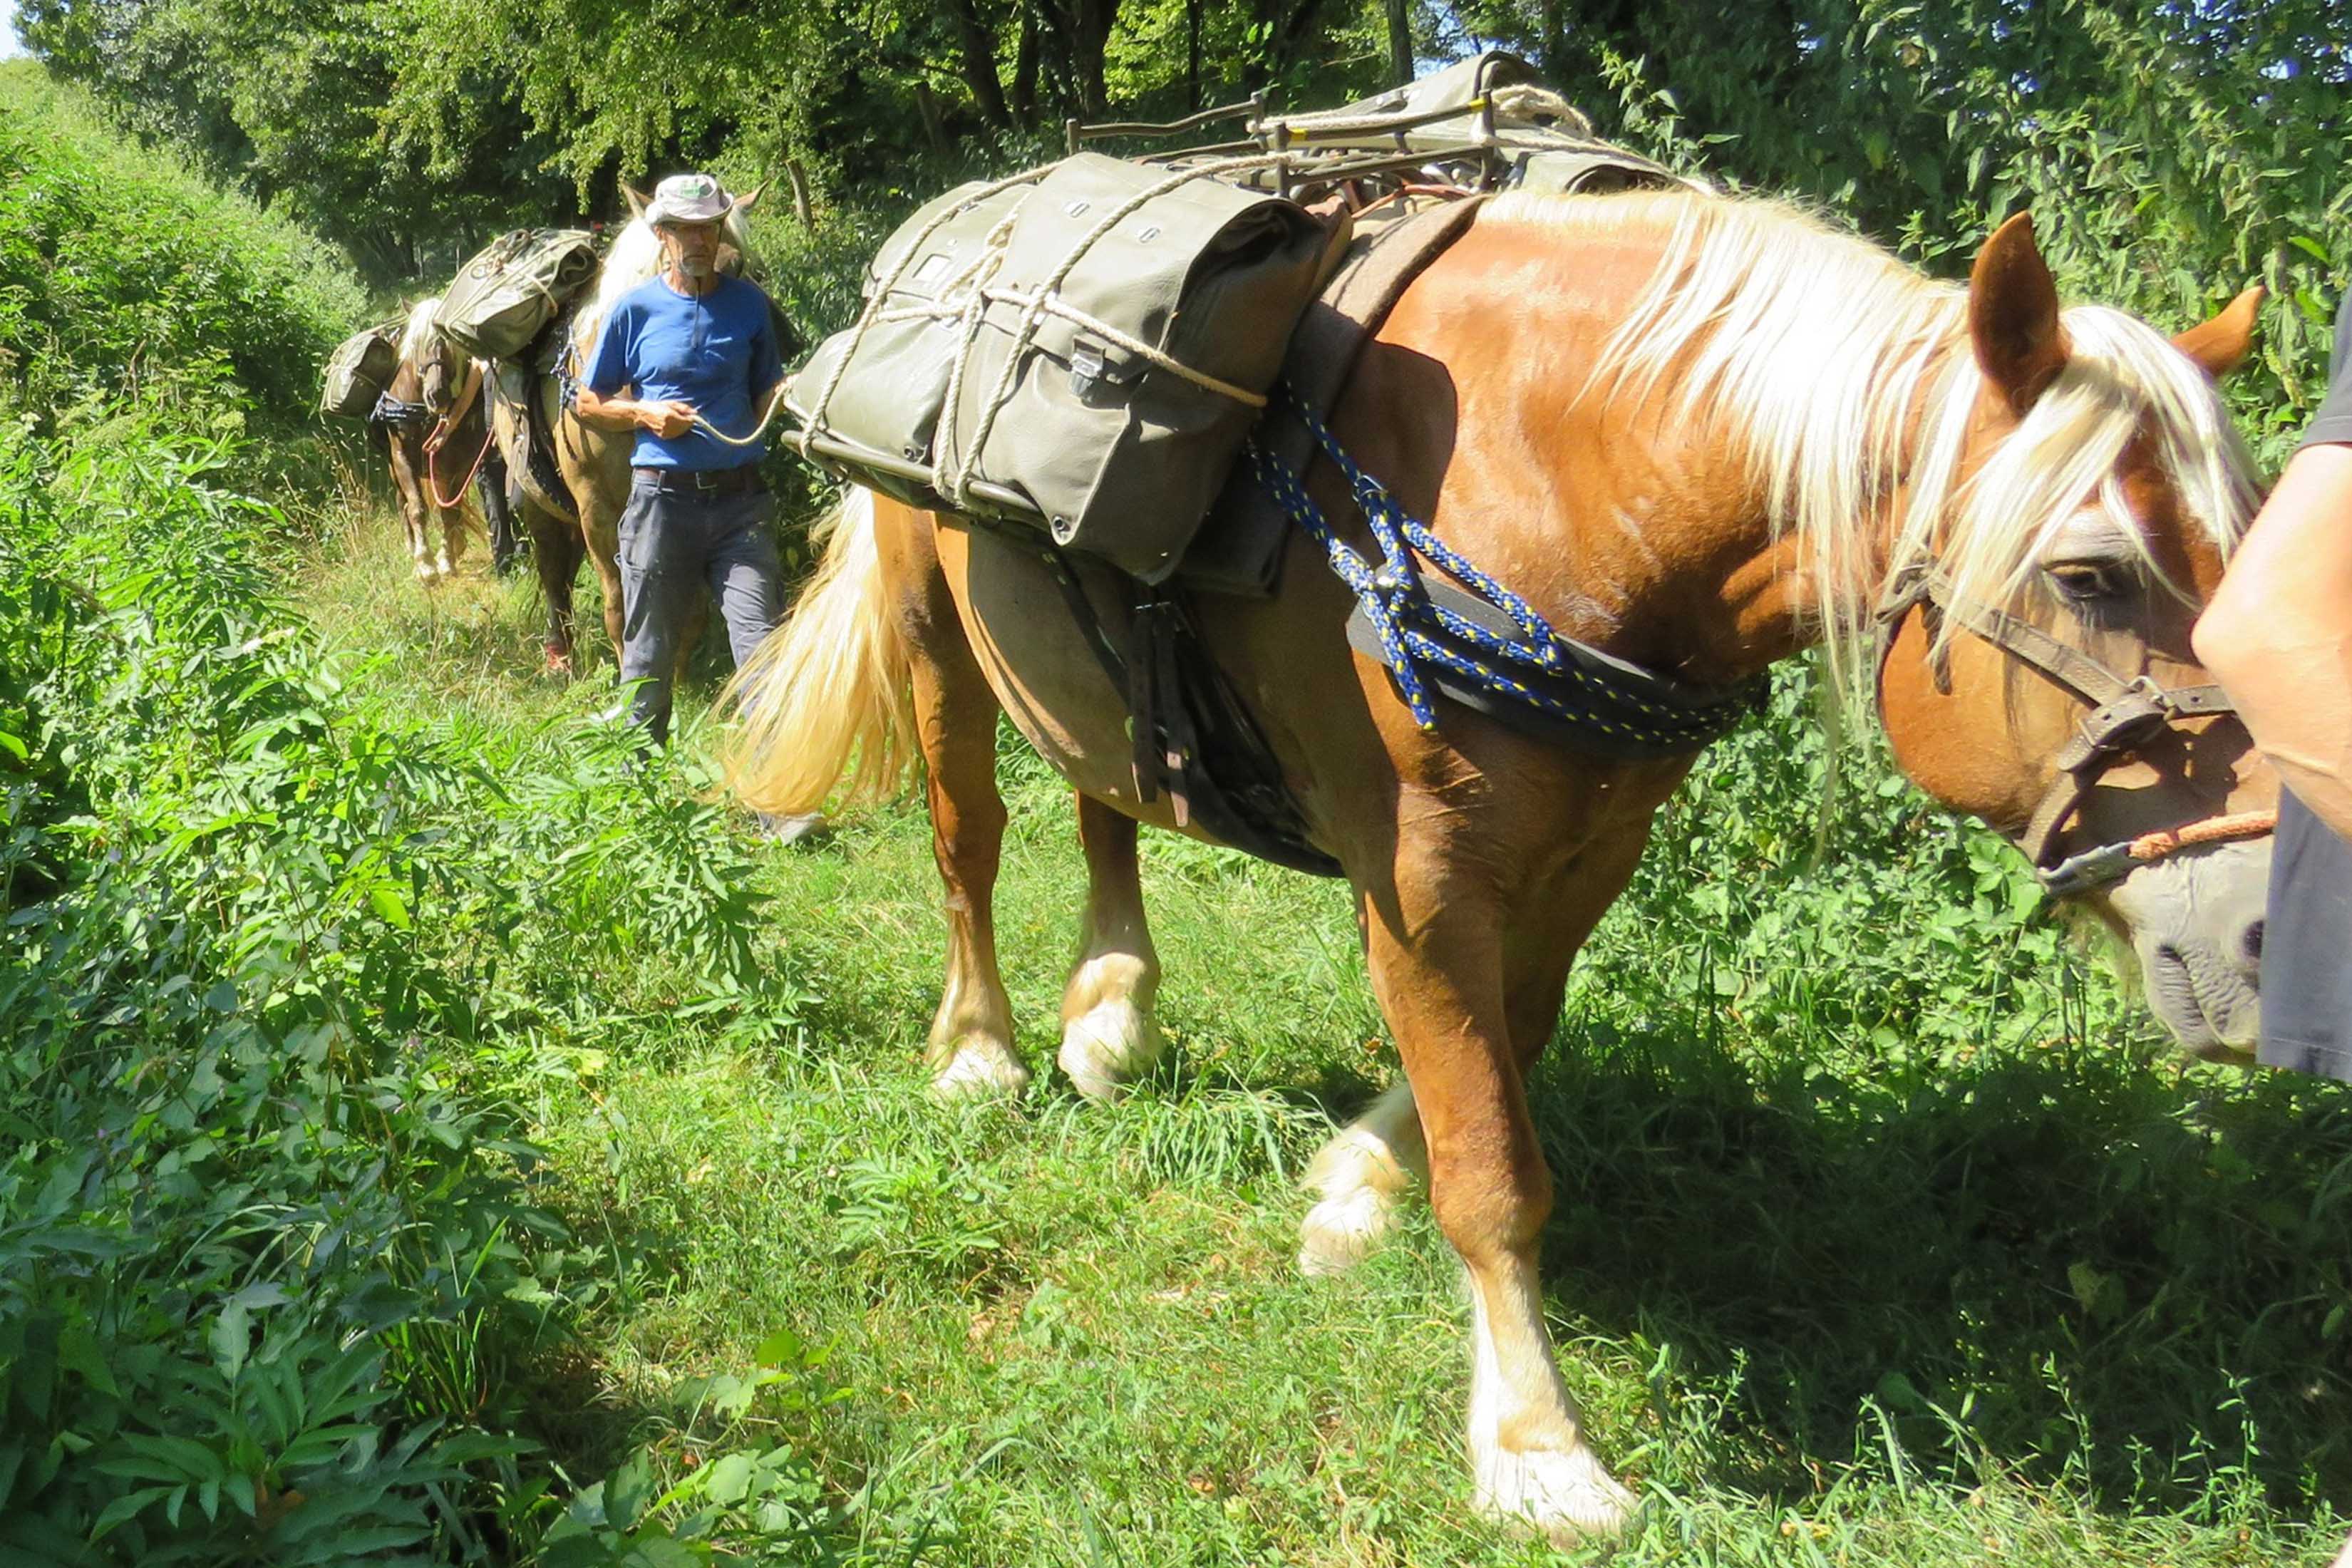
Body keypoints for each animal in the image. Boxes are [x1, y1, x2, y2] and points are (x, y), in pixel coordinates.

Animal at [721, 190, 2270, 1540]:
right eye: (2089, 574)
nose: (2258, 934)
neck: (1550, 475)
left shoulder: (1590, 846)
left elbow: (1506, 1043)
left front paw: (1358, 1180)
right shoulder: (1418, 871)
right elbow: (1494, 1159)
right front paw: (1537, 1444)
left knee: (1106, 802)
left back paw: (1110, 1006)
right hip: (931, 626)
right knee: (967, 836)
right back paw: (981, 1049)